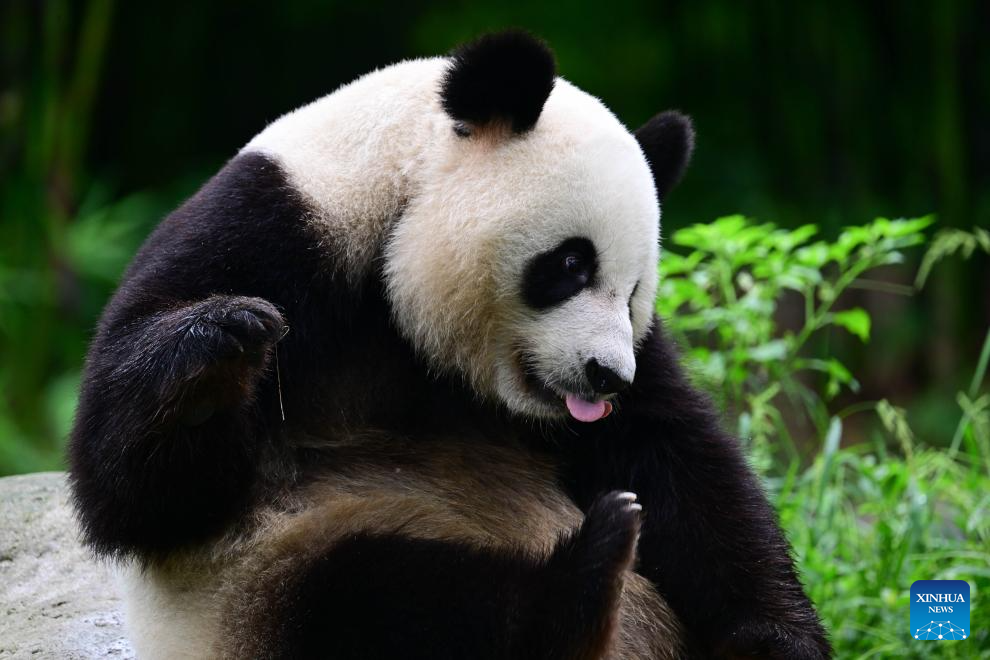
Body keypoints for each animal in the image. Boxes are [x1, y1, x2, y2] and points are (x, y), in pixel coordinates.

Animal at [69, 31, 830, 659]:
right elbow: (135, 495)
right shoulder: (267, 230)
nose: (607, 376)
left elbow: (678, 461)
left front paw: (774, 642)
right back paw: (579, 586)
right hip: (263, 582)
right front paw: (217, 356)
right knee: (377, 602)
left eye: (634, 290)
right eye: (571, 264)